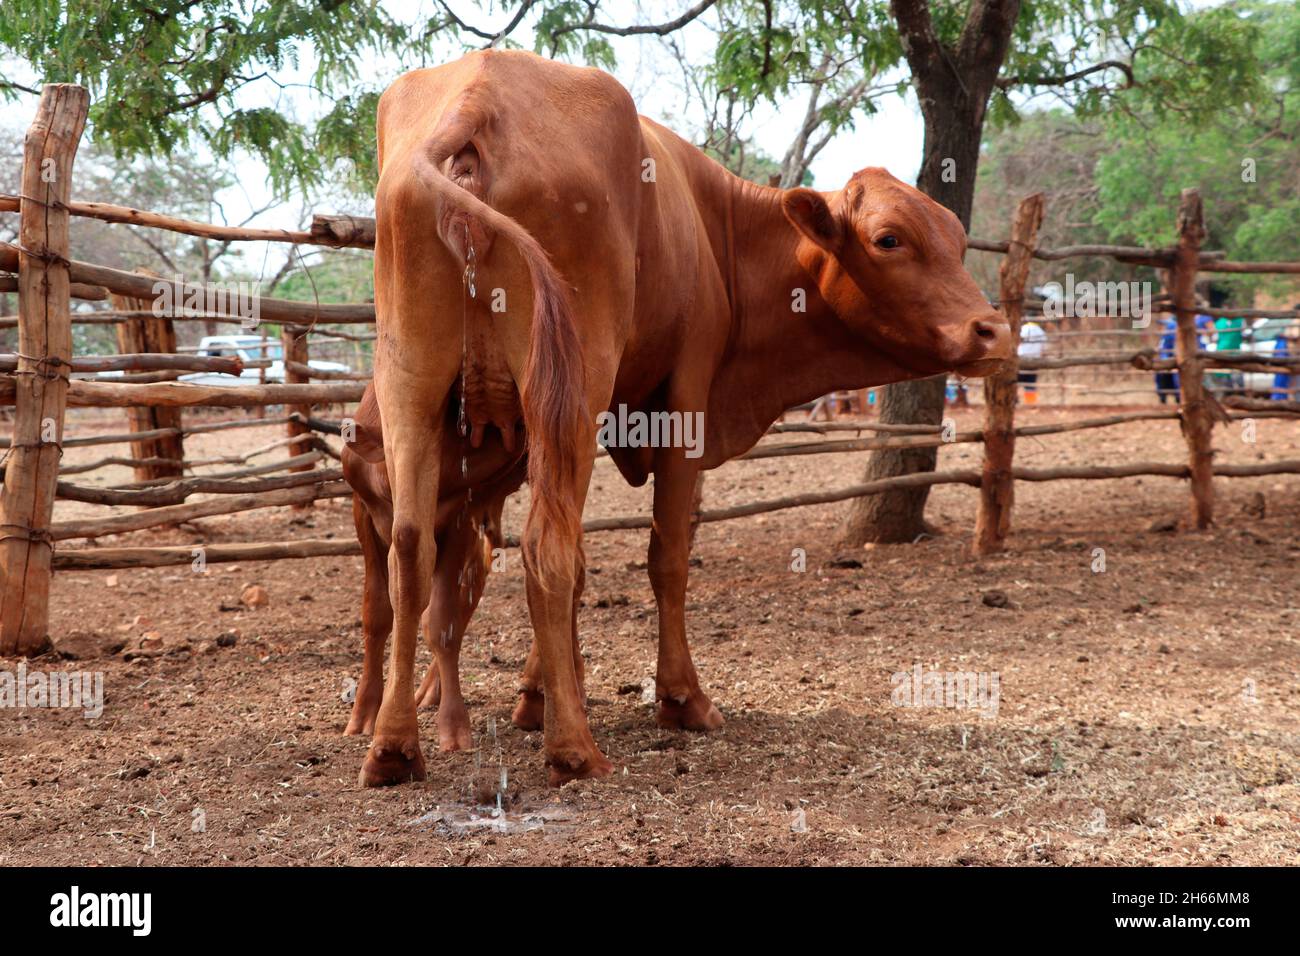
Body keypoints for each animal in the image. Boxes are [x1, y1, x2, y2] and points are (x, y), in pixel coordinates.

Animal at [364, 49, 1011, 788]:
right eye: (889, 239)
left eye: (957, 238)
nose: (993, 330)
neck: (719, 226)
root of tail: (478, 93)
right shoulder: (684, 398)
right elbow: (665, 554)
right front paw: (679, 697)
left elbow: (581, 563)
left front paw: (540, 695)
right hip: (570, 385)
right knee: (543, 545)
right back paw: (573, 748)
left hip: (412, 384)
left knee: (412, 549)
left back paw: (394, 747)